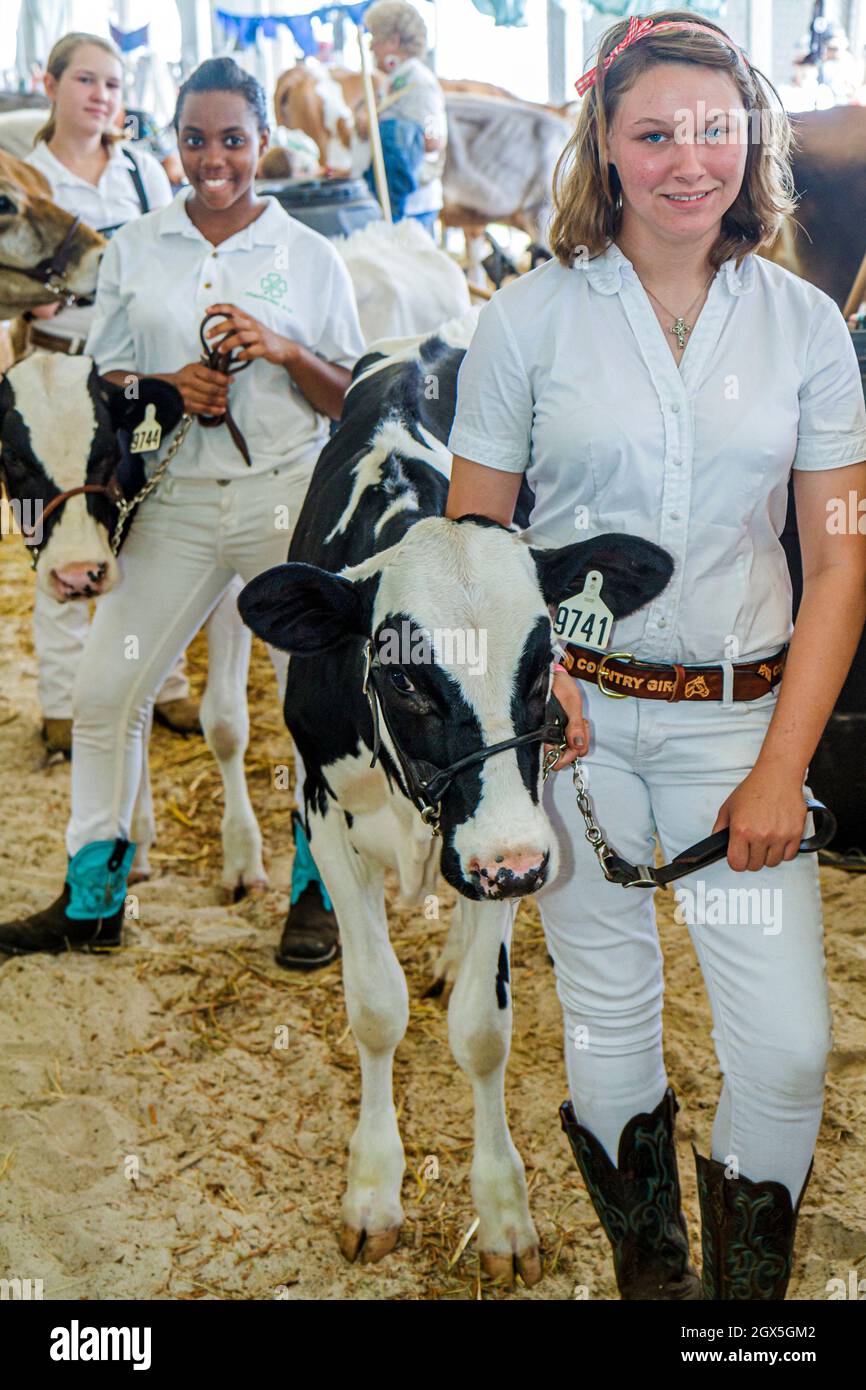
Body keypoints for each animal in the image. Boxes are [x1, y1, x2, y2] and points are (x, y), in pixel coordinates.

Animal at [239, 322, 678, 1278]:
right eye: (404, 678)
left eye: (545, 657)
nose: (510, 861)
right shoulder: (328, 820)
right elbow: (375, 1009)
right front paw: (372, 1193)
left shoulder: (515, 836)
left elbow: (482, 1028)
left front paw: (504, 1214)